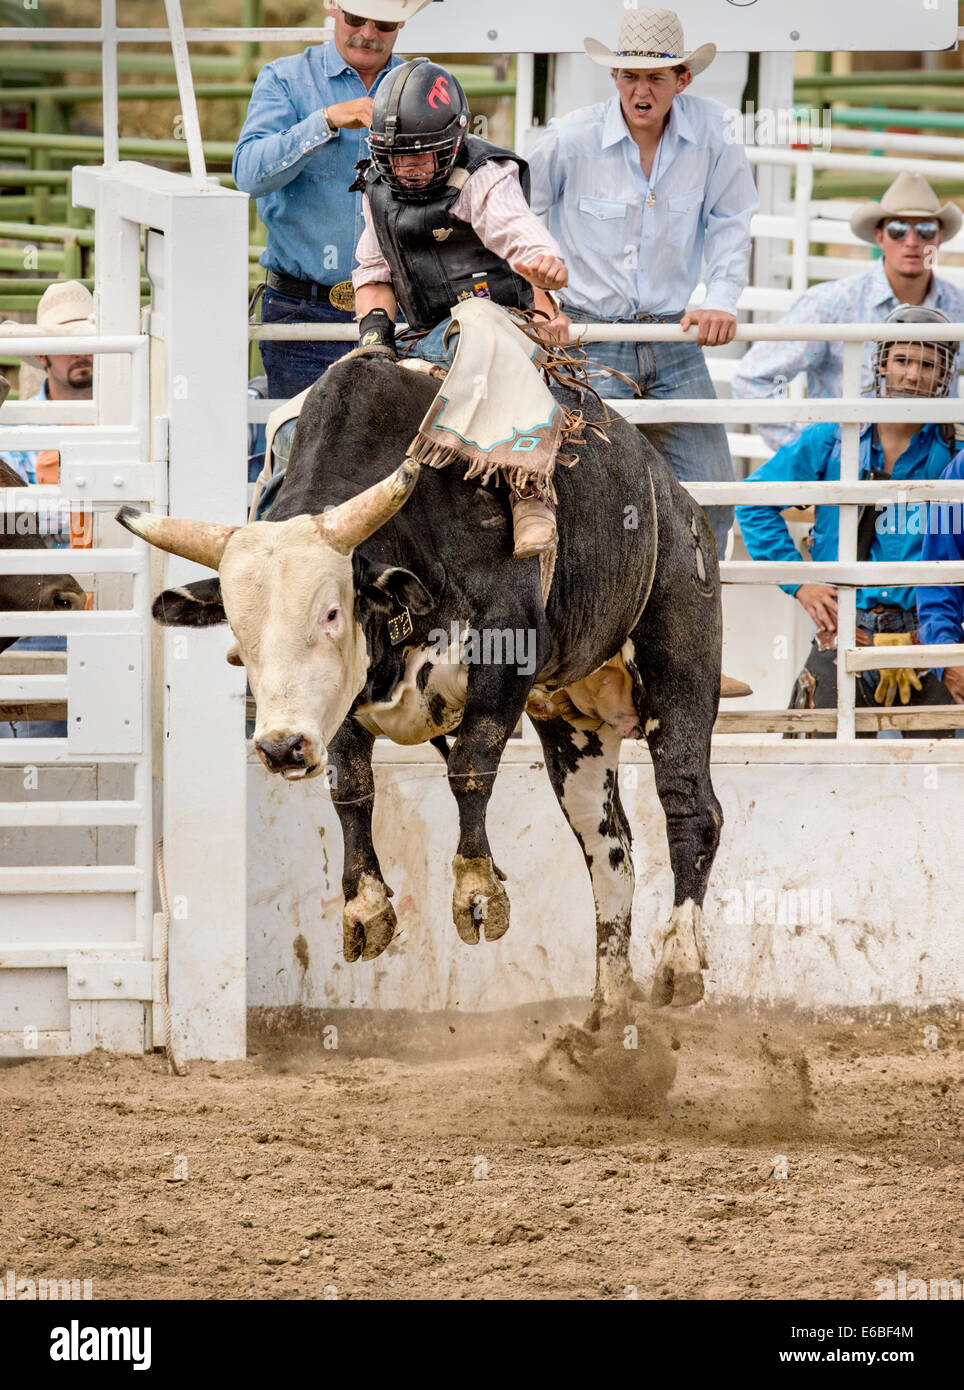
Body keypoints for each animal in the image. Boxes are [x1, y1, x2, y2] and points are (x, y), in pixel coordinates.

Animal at [117, 352, 723, 1026]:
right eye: (237, 626)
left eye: (332, 612)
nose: (280, 748)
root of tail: (679, 499)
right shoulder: (343, 705)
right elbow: (352, 787)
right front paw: (365, 907)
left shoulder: (504, 659)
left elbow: (470, 765)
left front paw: (478, 892)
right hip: (573, 728)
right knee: (608, 849)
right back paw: (608, 1016)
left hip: (681, 666)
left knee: (691, 808)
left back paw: (679, 963)